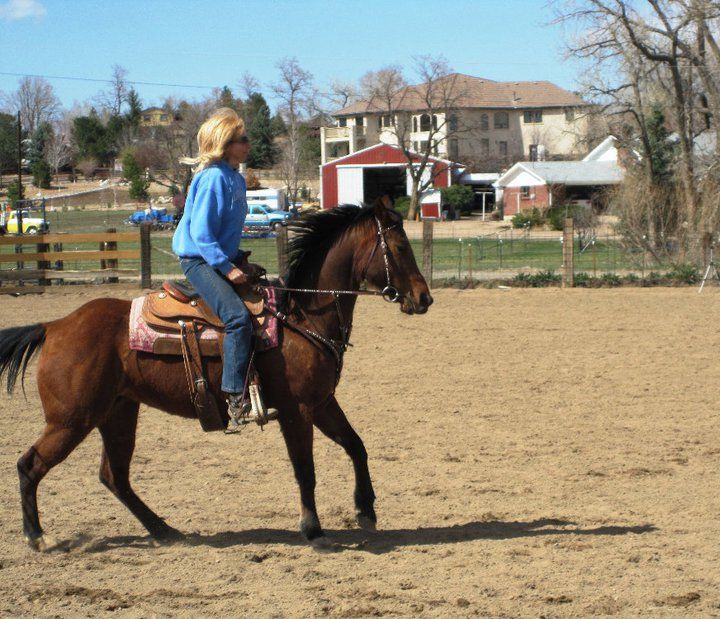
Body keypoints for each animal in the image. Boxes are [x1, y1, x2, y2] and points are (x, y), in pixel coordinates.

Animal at [0, 202, 433, 551]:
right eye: (400, 247)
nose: (424, 297)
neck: (300, 316)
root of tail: (54, 326)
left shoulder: (323, 403)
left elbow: (356, 445)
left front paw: (366, 510)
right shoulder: (297, 411)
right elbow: (305, 470)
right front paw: (313, 530)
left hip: (118, 413)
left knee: (114, 476)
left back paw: (164, 530)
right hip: (72, 420)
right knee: (30, 465)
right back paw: (38, 537)